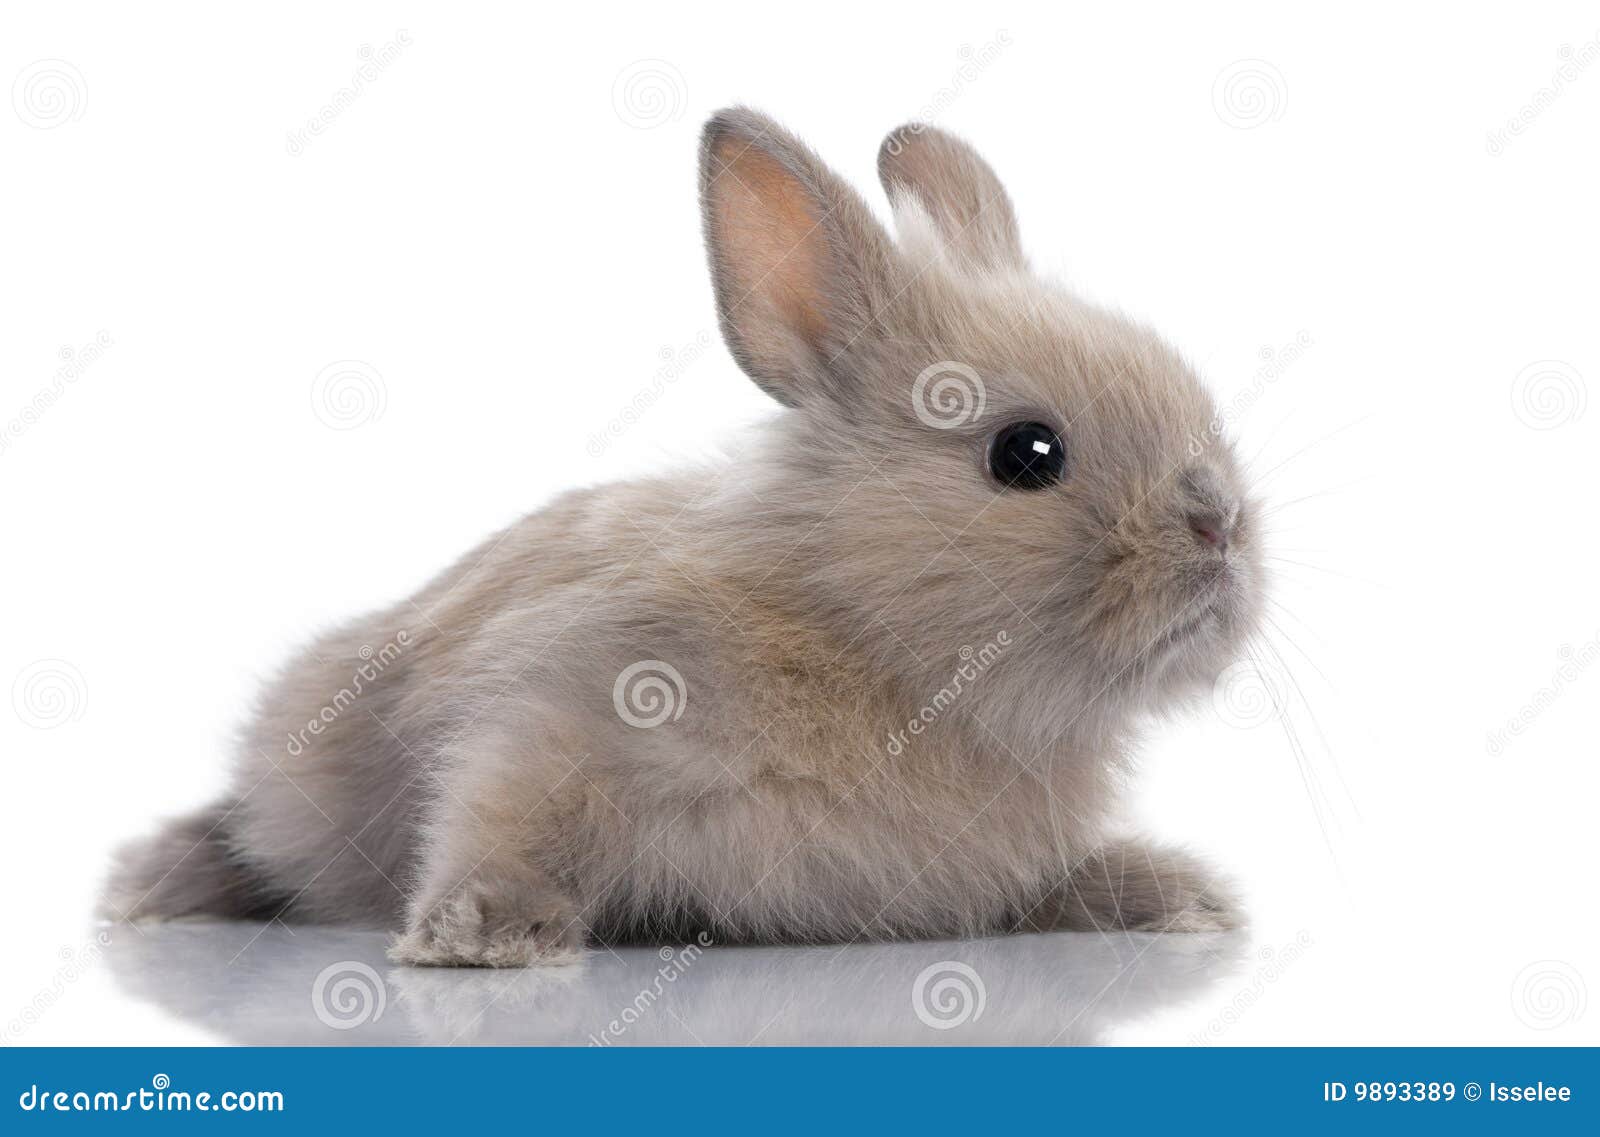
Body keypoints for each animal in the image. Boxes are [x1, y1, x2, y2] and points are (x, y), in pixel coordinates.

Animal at [102, 107, 1265, 966]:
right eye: (1025, 454)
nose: (1217, 527)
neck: (870, 643)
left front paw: (1175, 896)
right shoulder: (560, 714)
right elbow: (495, 818)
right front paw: (479, 936)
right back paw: (149, 887)